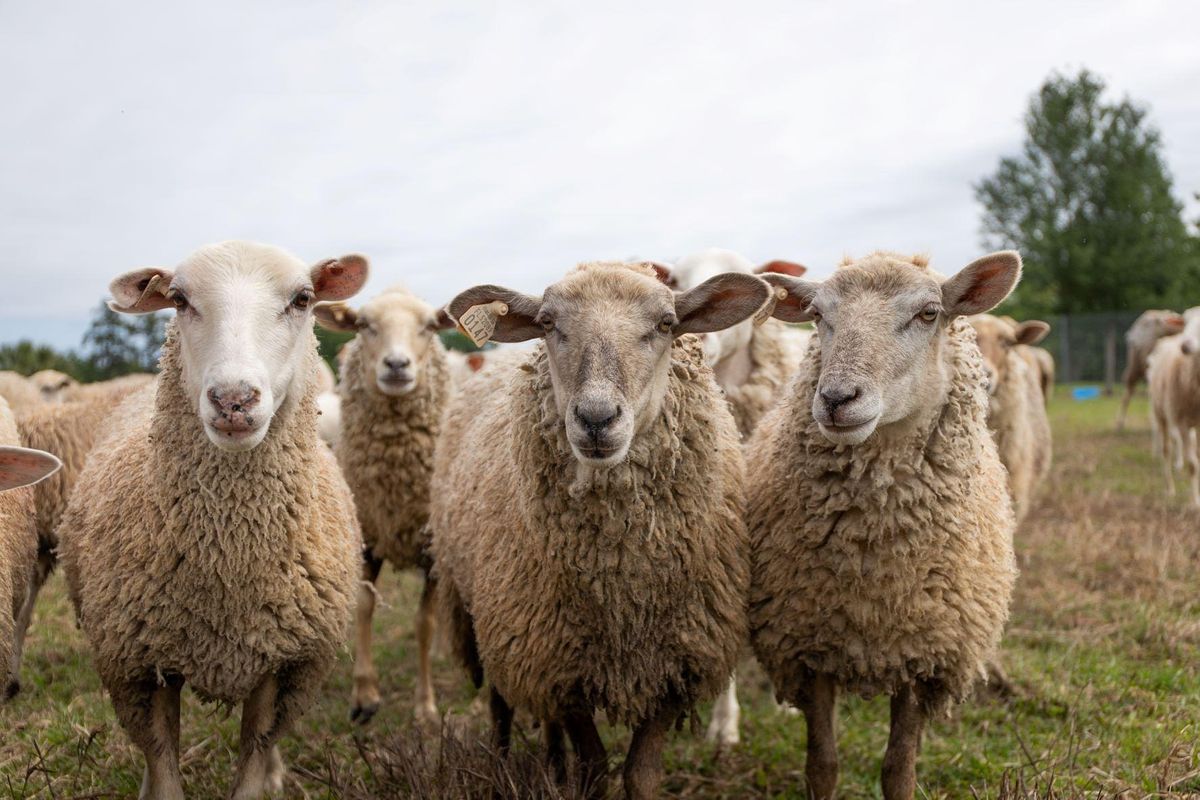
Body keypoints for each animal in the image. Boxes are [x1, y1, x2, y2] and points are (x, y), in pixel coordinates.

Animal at [57, 241, 368, 800]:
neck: (230, 563)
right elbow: (161, 761)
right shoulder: (139, 666)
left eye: (303, 299)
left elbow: (255, 754)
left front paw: (265, 777)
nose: (233, 400)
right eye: (179, 300)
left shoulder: (285, 666)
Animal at [313, 285, 452, 725]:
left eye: (429, 326)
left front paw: (425, 706)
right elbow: (363, 607)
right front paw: (364, 695)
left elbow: (425, 622)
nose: (396, 364)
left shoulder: (431, 549)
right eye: (364, 325)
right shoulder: (366, 538)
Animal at [430, 261, 767, 799]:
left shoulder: (674, 664)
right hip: (483, 612)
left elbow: (641, 773)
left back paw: (551, 761)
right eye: (547, 323)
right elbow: (593, 764)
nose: (595, 418)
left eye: (667, 324)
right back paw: (502, 763)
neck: (619, 580)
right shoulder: (555, 662)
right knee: (501, 703)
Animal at [748, 250, 1021, 800]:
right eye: (817, 315)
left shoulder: (925, 654)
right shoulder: (809, 648)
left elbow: (899, 770)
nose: (836, 398)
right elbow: (822, 765)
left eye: (929, 313)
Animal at [1148, 308, 1200, 506]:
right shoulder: (1183, 422)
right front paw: (1196, 502)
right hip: (1161, 413)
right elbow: (1193, 465)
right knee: (1166, 450)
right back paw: (1170, 489)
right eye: (1185, 322)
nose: (1184, 346)